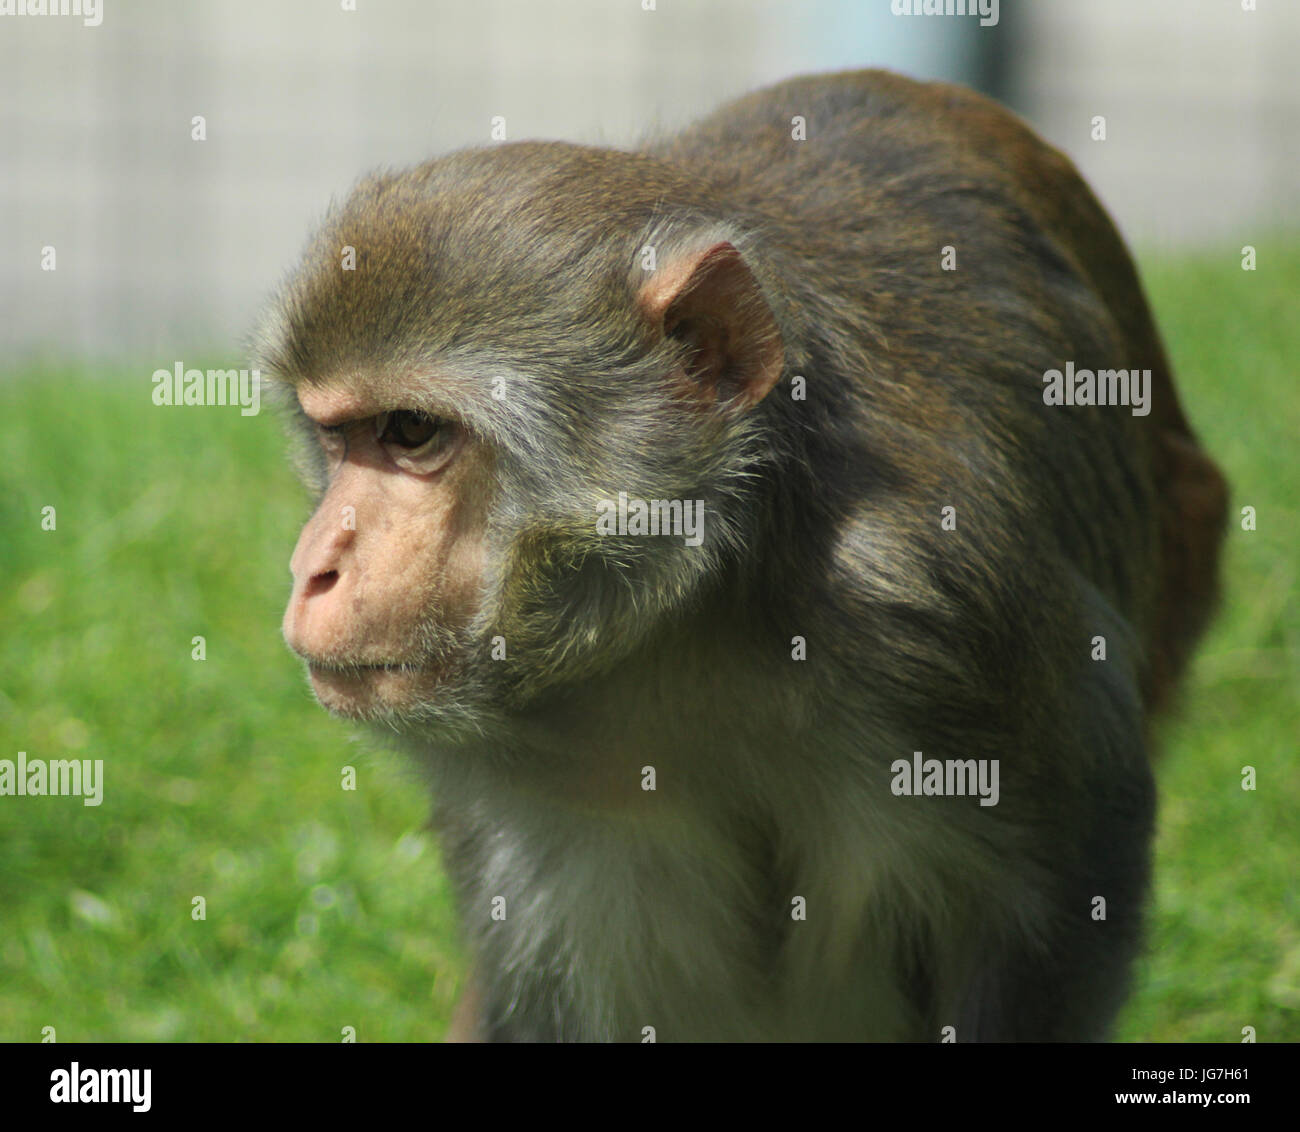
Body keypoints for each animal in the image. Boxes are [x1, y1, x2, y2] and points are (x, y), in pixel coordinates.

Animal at [253, 69, 1227, 1042]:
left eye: (412, 432)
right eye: (337, 438)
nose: (312, 568)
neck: (694, 609)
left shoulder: (951, 613)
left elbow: (1055, 914)